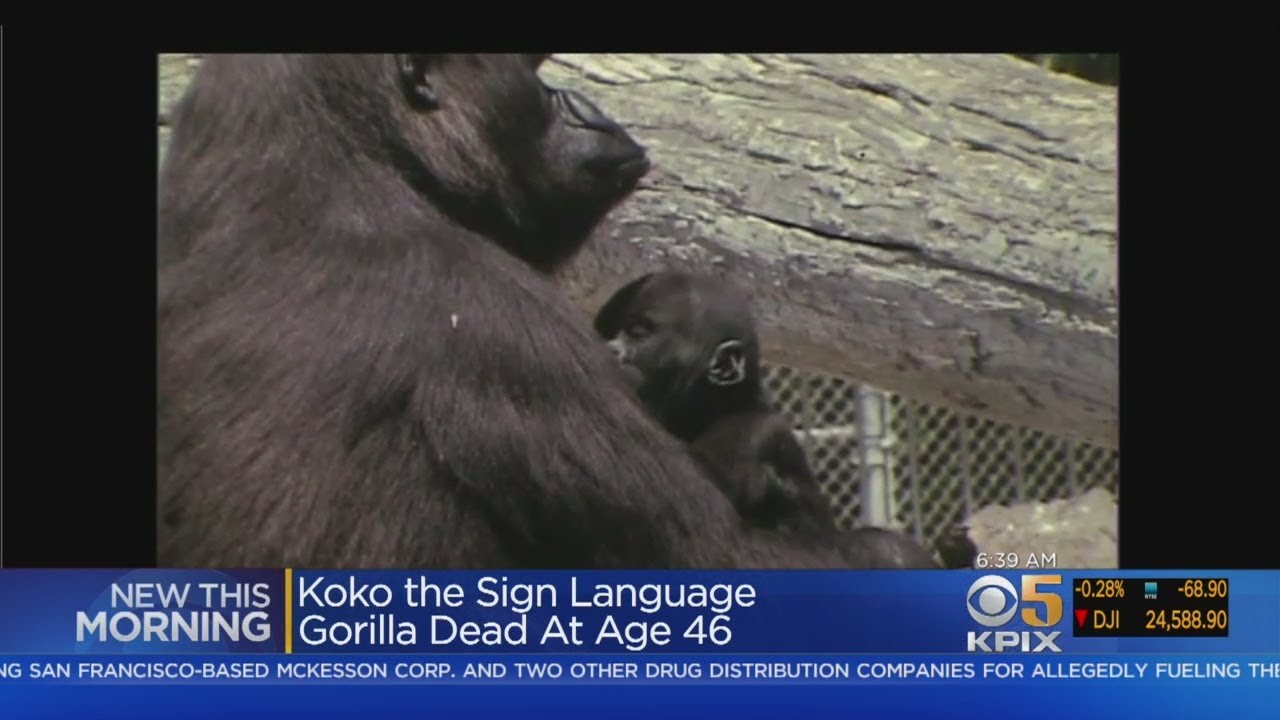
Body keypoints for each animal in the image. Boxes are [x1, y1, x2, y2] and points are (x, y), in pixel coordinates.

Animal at [593, 270, 979, 569]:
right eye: (608, 332)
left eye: (638, 332)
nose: (611, 350)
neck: (714, 407)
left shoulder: (750, 431)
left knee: (884, 549)